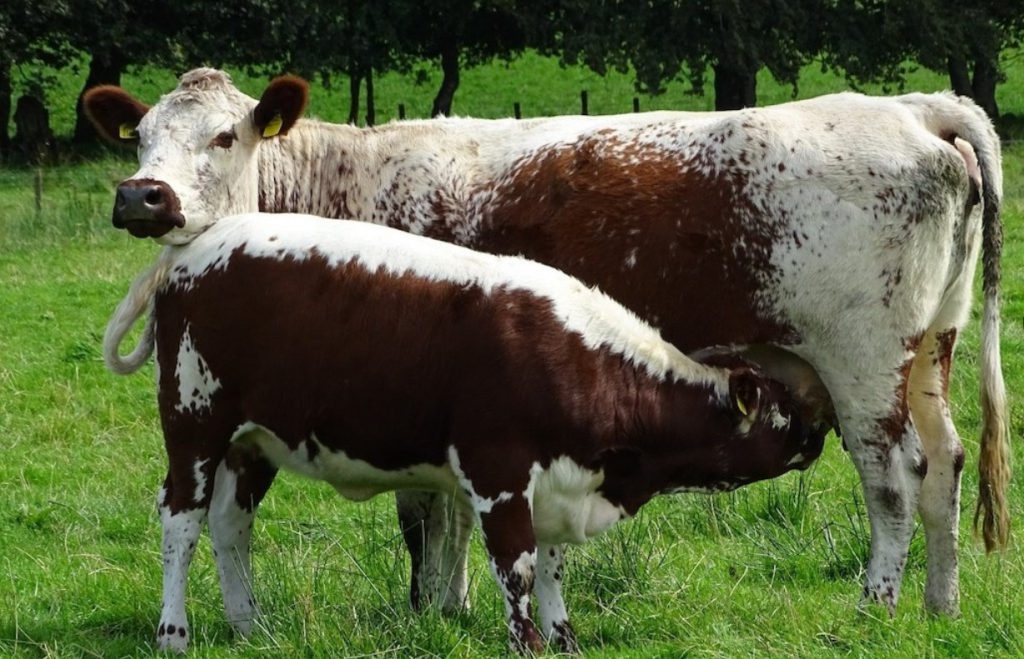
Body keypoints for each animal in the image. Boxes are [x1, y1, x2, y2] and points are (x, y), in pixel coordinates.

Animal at [105, 210, 824, 652]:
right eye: (785, 408)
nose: (821, 434)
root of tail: (201, 239)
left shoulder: (558, 482)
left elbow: (553, 566)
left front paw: (564, 638)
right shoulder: (498, 472)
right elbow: (519, 568)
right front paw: (527, 643)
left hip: (255, 441)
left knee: (232, 524)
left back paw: (248, 624)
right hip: (195, 420)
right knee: (181, 523)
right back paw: (174, 631)